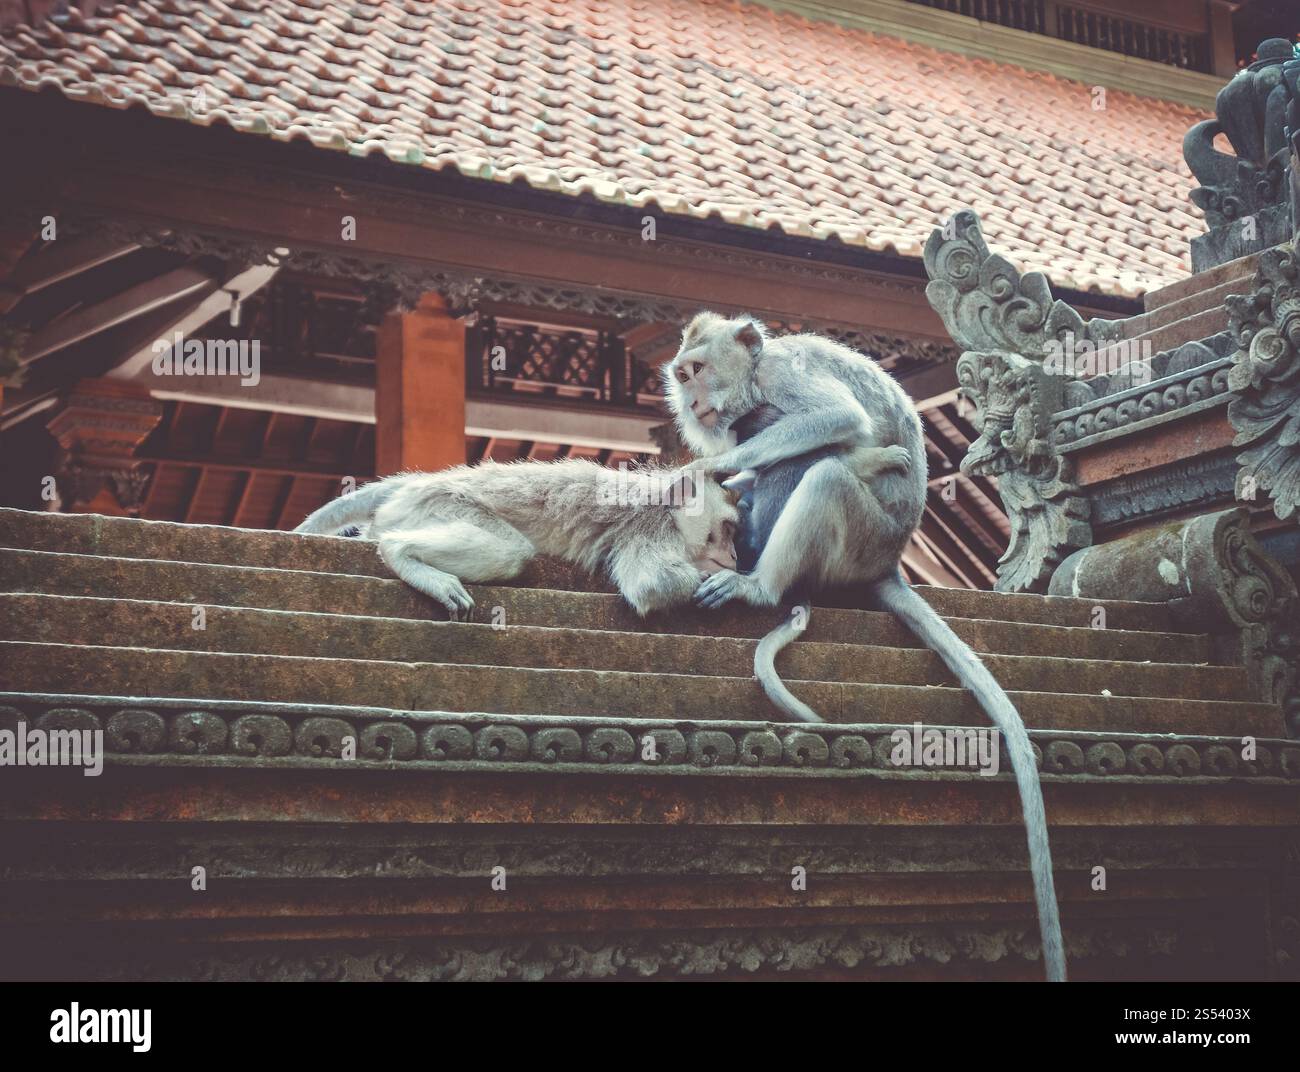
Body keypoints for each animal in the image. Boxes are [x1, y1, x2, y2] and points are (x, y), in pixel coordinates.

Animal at [294, 459, 739, 619]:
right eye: (730, 529)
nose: (736, 555)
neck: (664, 502)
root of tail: (419, 483)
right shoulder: (651, 529)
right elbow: (654, 584)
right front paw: (722, 583)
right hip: (445, 502)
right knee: (513, 552)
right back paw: (401, 554)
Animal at [664, 312, 1066, 983]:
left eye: (695, 370)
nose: (690, 400)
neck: (755, 371)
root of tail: (891, 560)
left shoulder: (782, 378)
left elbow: (834, 419)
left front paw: (707, 471)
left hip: (859, 536)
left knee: (824, 469)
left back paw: (760, 583)